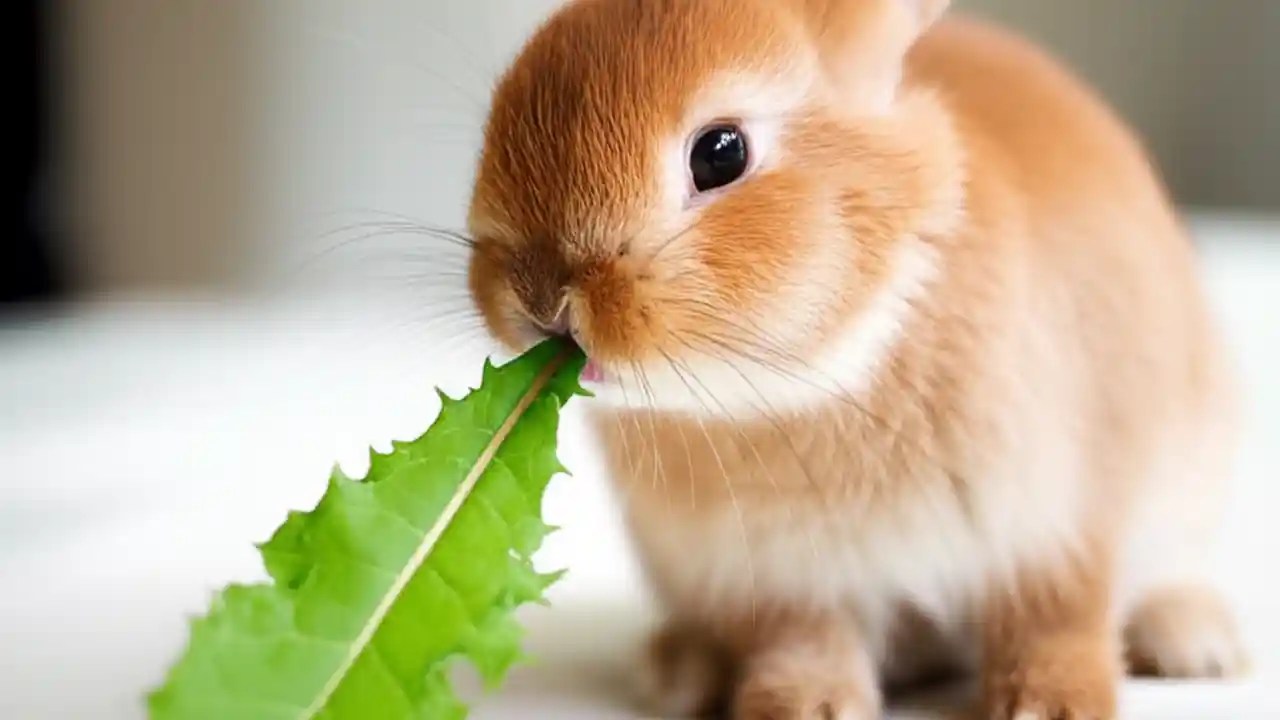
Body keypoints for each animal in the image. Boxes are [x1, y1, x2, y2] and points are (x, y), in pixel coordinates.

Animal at [466, 1, 1247, 717]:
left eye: (720, 153)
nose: (540, 299)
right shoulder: (783, 578)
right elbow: (804, 643)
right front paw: (803, 708)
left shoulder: (1060, 520)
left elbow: (1055, 620)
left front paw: (1052, 707)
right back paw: (679, 673)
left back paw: (1196, 643)